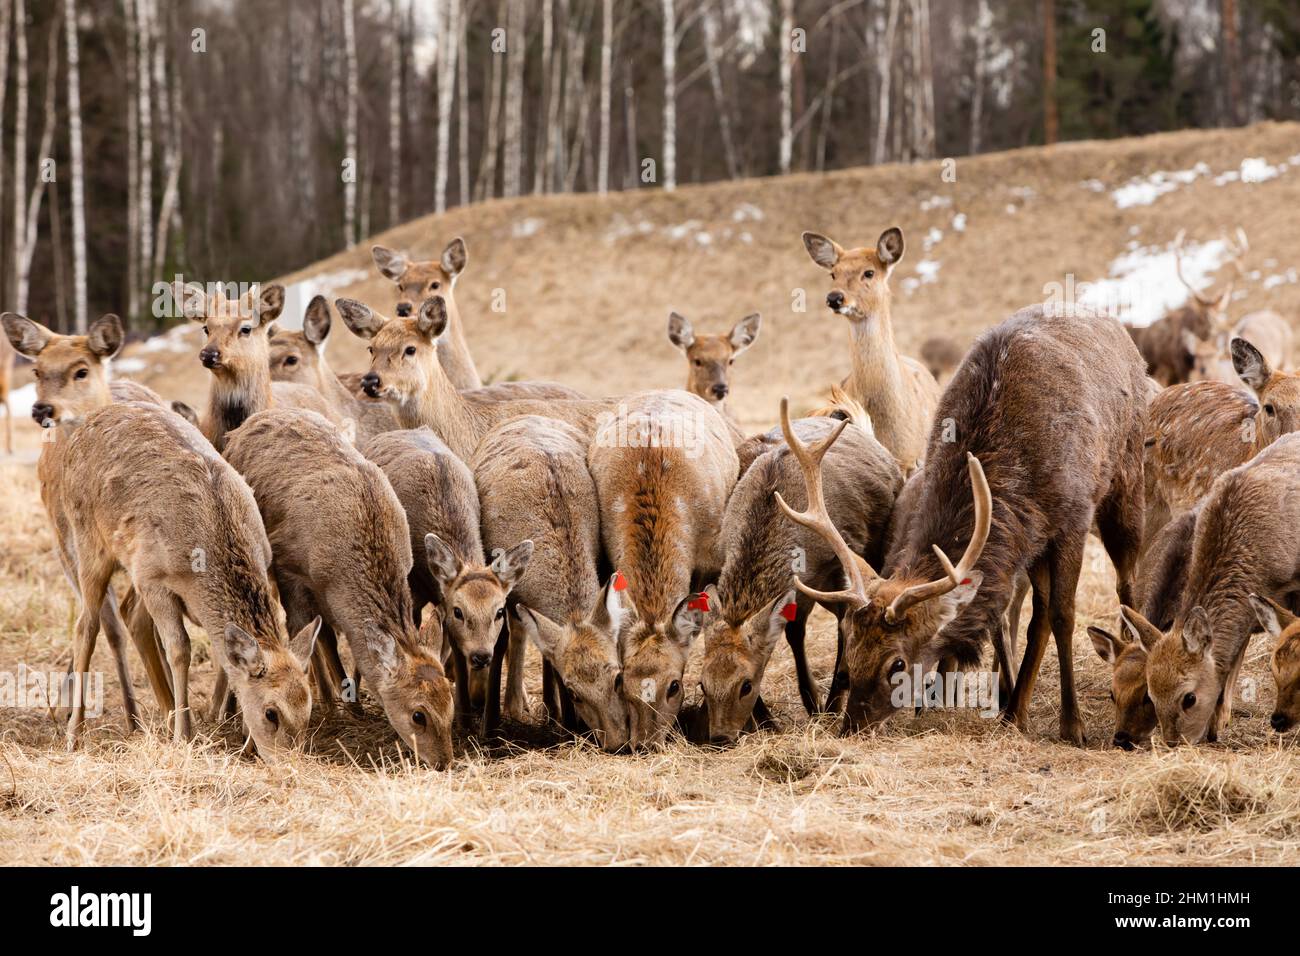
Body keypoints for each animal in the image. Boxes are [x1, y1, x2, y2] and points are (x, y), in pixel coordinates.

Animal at [44, 399, 320, 755]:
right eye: (271, 713)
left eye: (308, 710)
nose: (288, 761)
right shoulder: (155, 580)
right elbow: (180, 648)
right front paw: (184, 735)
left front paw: (237, 737)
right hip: (87, 541)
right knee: (87, 627)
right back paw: (74, 733)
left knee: (131, 615)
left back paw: (164, 713)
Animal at [222, 408, 454, 765]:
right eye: (419, 715)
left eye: (451, 707)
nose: (444, 761)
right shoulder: (291, 571)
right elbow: (314, 637)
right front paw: (332, 707)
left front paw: (354, 706)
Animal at [473, 414, 630, 748]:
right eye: (573, 692)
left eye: (618, 677)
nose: (617, 742)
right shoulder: (506, 593)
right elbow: (501, 643)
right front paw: (490, 728)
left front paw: (565, 721)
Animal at [698, 403, 902, 746]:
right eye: (702, 683)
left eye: (746, 684)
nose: (720, 737)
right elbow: (793, 629)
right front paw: (770, 720)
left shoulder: (832, 569)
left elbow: (827, 628)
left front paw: (824, 705)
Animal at [776, 305, 1147, 745]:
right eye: (849, 645)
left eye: (897, 664)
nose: (852, 726)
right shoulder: (1026, 537)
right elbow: (1018, 616)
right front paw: (1000, 711)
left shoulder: (1073, 515)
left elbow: (1064, 614)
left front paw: (1073, 727)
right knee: (1037, 612)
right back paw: (1014, 710)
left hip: (1126, 480)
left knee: (1124, 581)